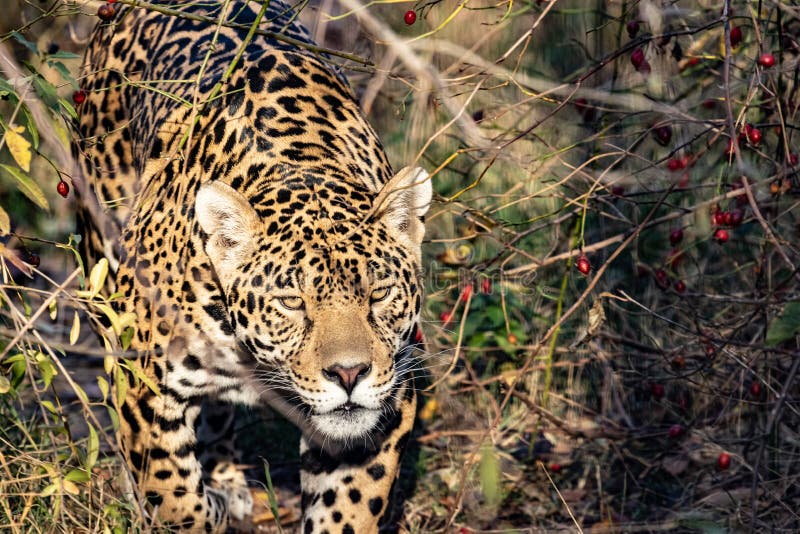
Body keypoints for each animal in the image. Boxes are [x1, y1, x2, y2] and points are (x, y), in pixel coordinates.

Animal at [72, 1, 431, 532]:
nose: (349, 375)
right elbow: (173, 496)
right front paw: (196, 512)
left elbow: (347, 507)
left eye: (380, 294)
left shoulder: (391, 398)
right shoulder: (145, 383)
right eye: (291, 302)